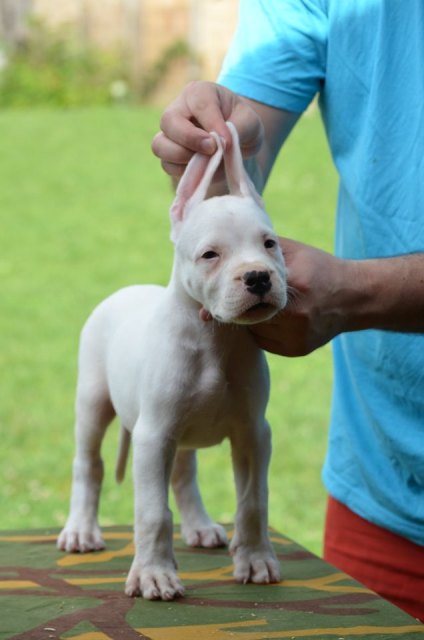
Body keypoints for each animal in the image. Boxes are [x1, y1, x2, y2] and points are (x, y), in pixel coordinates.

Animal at [57, 124, 288, 600]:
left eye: (269, 244)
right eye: (210, 255)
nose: (258, 277)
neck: (216, 336)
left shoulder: (253, 433)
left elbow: (253, 502)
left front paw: (256, 559)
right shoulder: (152, 436)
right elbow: (152, 513)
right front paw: (154, 575)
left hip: (182, 431)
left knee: (183, 472)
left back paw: (199, 526)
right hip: (93, 402)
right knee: (89, 465)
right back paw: (81, 531)